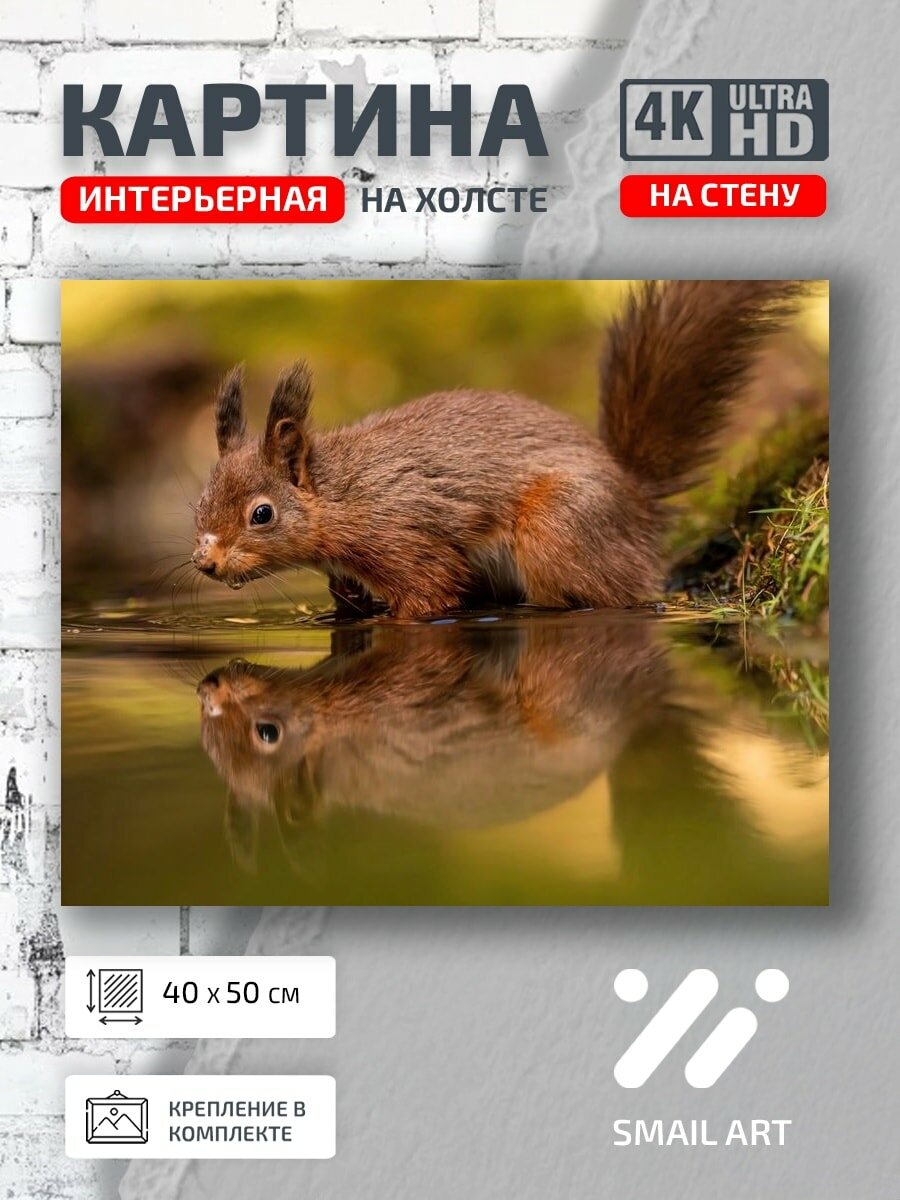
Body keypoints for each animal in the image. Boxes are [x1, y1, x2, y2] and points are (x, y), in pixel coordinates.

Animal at [192, 280, 802, 619]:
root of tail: (636, 500)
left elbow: (431, 591)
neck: (341, 495)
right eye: (198, 506)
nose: (206, 562)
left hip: (558, 528)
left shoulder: (403, 540)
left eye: (262, 514)